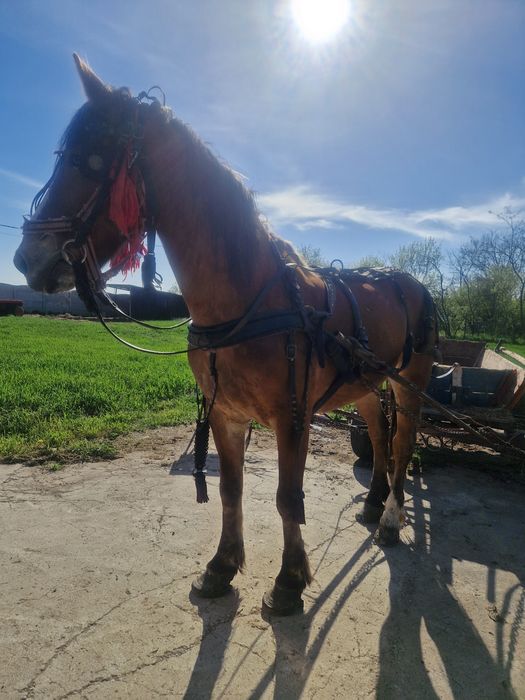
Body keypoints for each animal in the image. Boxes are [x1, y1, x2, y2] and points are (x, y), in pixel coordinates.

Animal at [14, 55, 438, 616]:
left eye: (95, 159)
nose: (27, 259)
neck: (250, 300)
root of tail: (410, 282)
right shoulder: (224, 412)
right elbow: (231, 490)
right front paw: (222, 565)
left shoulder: (292, 418)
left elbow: (286, 498)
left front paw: (289, 579)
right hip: (366, 384)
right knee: (380, 433)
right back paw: (372, 506)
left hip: (410, 382)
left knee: (404, 443)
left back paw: (391, 518)